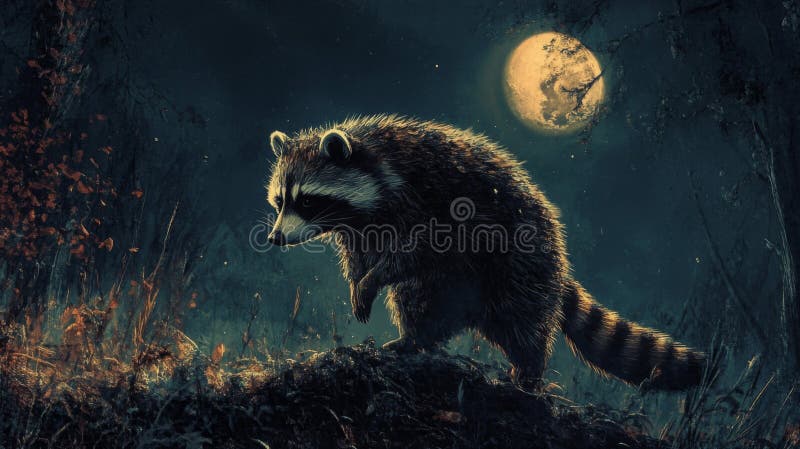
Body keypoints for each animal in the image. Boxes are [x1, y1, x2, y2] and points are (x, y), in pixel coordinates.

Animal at [265, 114, 706, 390]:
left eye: (307, 201)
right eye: (279, 202)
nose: (275, 239)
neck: (373, 159)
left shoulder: (428, 203)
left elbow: (411, 252)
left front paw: (372, 280)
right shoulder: (358, 227)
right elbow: (361, 258)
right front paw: (359, 281)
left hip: (519, 257)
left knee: (522, 318)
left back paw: (528, 372)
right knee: (421, 301)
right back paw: (415, 339)